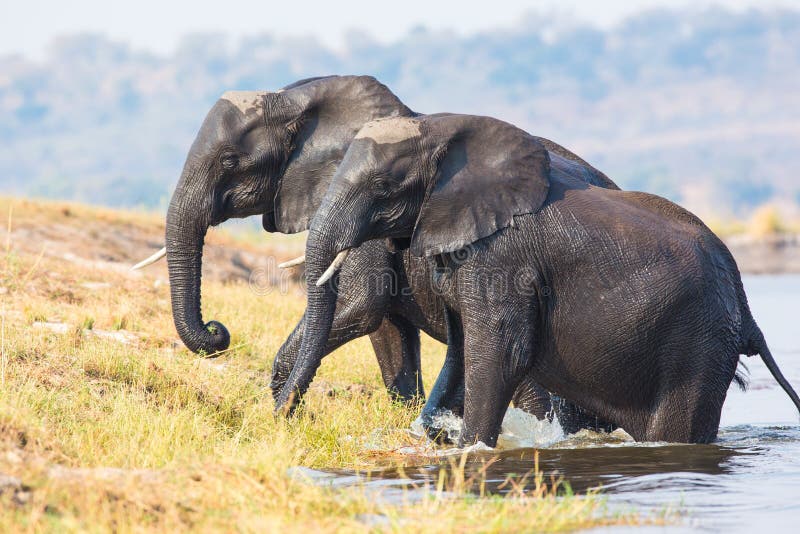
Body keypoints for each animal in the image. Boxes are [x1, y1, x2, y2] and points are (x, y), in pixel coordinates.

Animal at [139, 74, 614, 429]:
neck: (297, 99)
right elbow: (385, 328)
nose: (218, 331)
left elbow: (363, 304)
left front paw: (284, 408)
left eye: (229, 161)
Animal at [276, 113, 800, 446]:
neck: (443, 131)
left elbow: (500, 350)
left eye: (383, 187)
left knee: (677, 430)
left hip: (697, 346)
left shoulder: (502, 260)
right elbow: (462, 350)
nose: (285, 416)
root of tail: (745, 304)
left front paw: (469, 452)